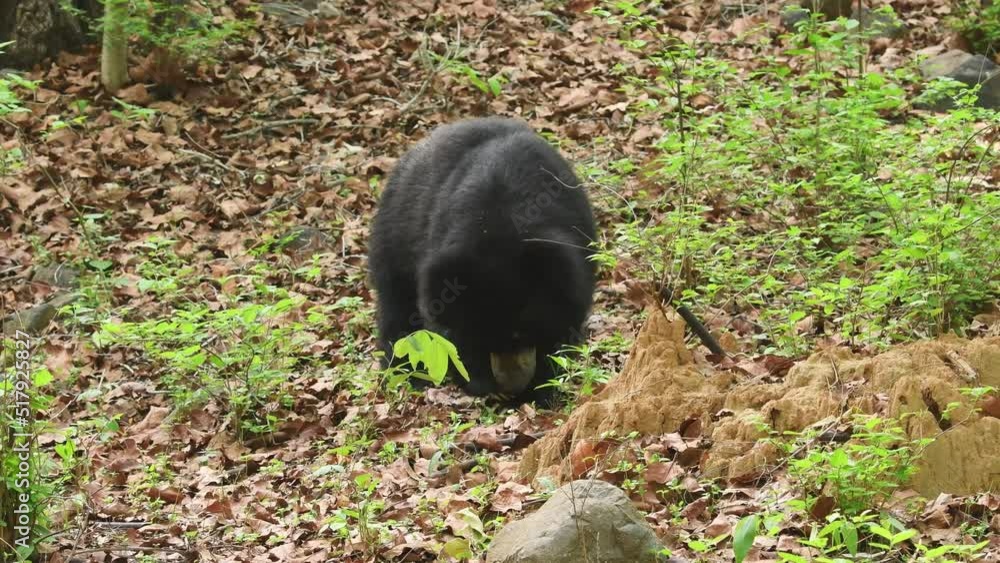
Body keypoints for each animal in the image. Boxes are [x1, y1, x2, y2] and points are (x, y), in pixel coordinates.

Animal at [367, 117, 596, 404]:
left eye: (522, 332)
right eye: (481, 336)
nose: (511, 388)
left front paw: (542, 387)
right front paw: (481, 383)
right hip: (395, 236)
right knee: (397, 309)